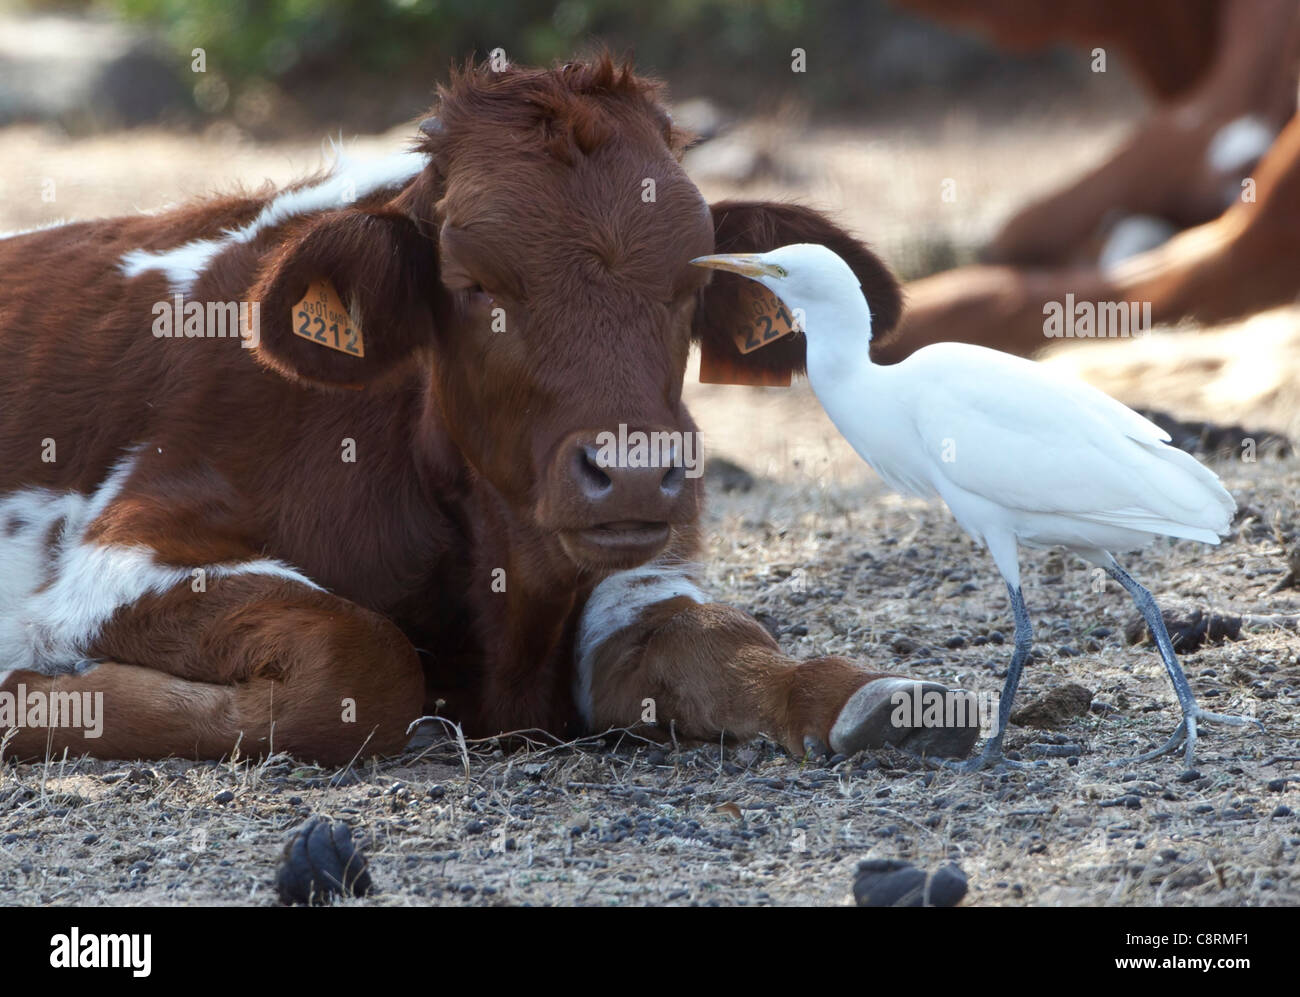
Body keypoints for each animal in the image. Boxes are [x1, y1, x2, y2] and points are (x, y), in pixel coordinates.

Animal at [0, 57, 978, 766]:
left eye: (691, 282)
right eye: (474, 285)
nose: (632, 470)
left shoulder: (637, 571)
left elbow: (715, 640)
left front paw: (864, 694)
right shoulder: (121, 543)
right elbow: (356, 653)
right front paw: (28, 691)